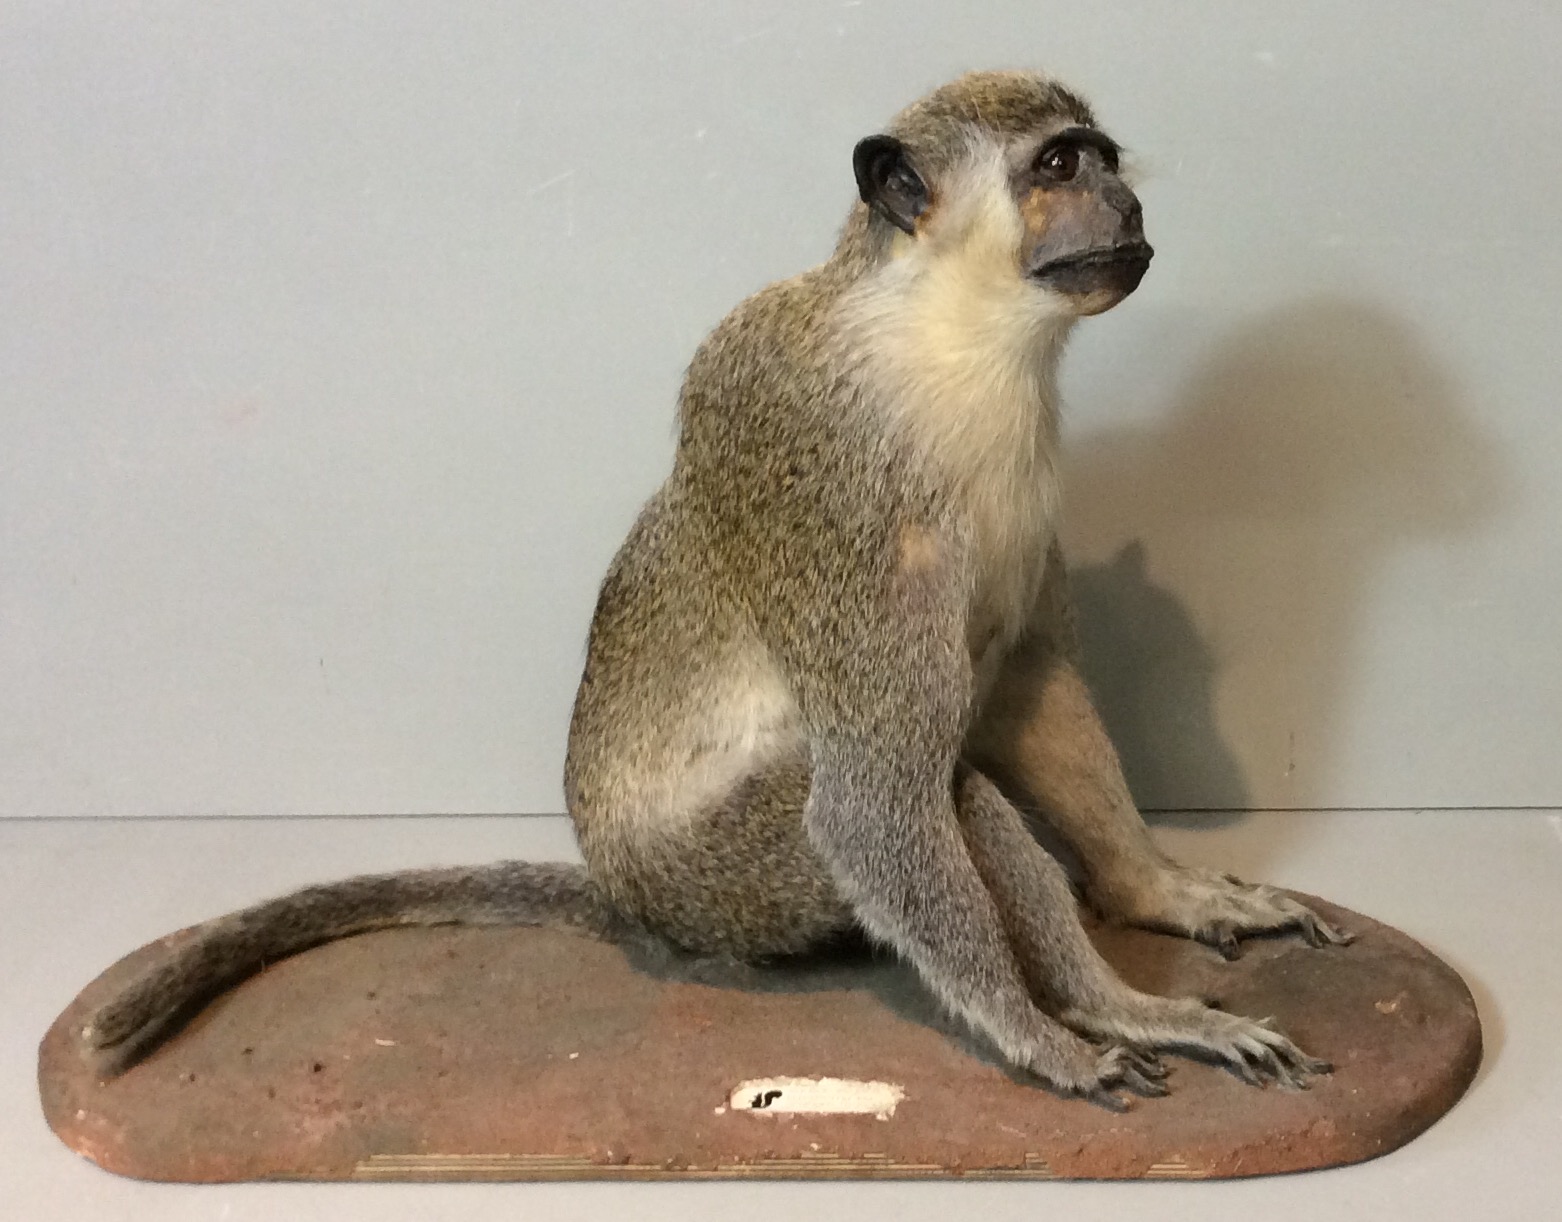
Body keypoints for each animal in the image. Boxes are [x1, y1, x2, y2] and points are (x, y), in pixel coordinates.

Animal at [81, 69, 1351, 1109]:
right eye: (1051, 167)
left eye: (1099, 156)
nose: (1123, 207)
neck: (944, 340)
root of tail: (629, 894)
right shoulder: (830, 487)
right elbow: (871, 800)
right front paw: (1041, 1036)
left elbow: (1026, 691)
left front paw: (1158, 894)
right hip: (724, 883)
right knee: (924, 793)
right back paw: (1091, 1008)